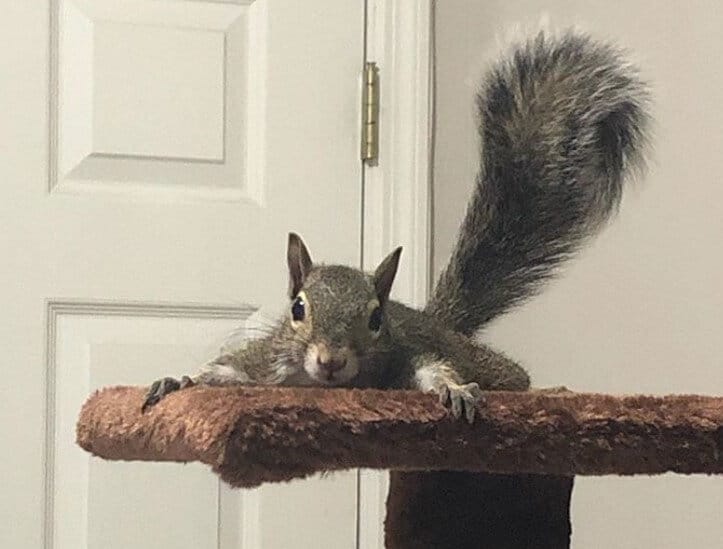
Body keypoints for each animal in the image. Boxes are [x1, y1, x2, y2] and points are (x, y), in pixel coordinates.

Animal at [142, 31, 649, 423]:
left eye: (376, 319)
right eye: (298, 308)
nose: (331, 361)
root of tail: (434, 319)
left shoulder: (405, 357)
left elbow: (433, 370)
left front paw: (453, 390)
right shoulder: (269, 358)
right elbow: (227, 367)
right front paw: (180, 379)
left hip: (482, 361)